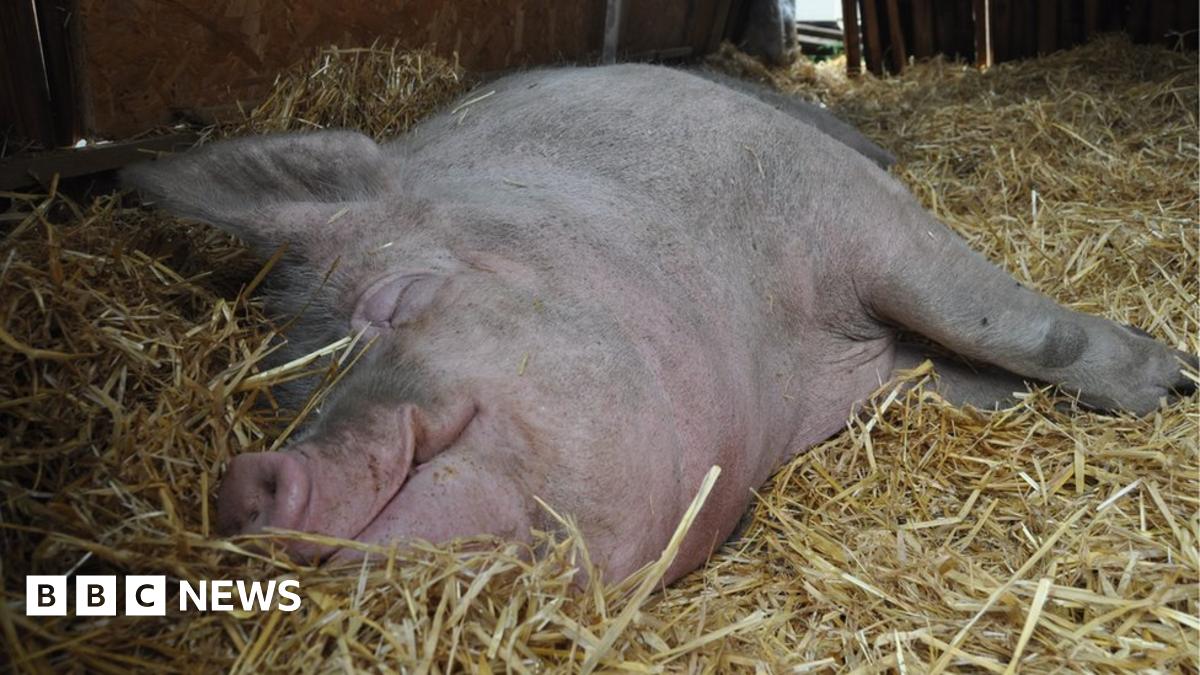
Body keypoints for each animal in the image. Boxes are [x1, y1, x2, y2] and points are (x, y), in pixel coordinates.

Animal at [124, 64, 1196, 585]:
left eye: (390, 304)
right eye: (287, 393)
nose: (250, 481)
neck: (779, 372)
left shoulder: (835, 202)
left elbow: (1002, 323)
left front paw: (1171, 381)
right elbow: (964, 366)